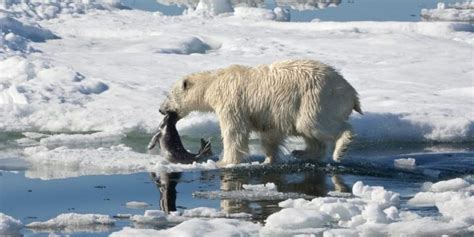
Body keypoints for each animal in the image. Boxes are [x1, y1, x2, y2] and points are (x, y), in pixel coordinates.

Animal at [159, 59, 362, 166]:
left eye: (168, 95)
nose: (161, 109)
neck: (213, 83)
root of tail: (351, 92)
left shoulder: (232, 101)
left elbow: (234, 131)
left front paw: (224, 162)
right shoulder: (270, 112)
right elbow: (270, 135)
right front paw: (268, 160)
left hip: (316, 98)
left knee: (314, 124)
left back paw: (340, 148)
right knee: (308, 131)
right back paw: (301, 153)